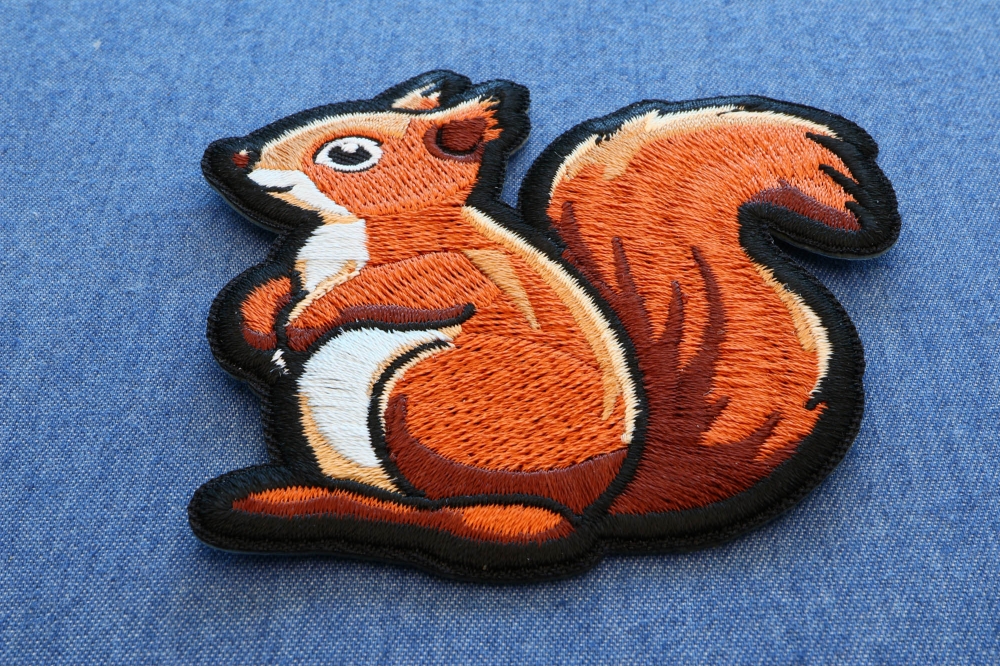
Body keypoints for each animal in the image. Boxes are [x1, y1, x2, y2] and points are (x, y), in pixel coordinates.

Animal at [190, 71, 899, 580]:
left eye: (349, 153)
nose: (232, 154)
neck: (355, 228)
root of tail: (601, 502)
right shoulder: (302, 262)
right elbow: (270, 289)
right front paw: (265, 330)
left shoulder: (469, 266)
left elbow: (399, 288)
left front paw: (307, 321)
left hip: (434, 393)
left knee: (508, 523)